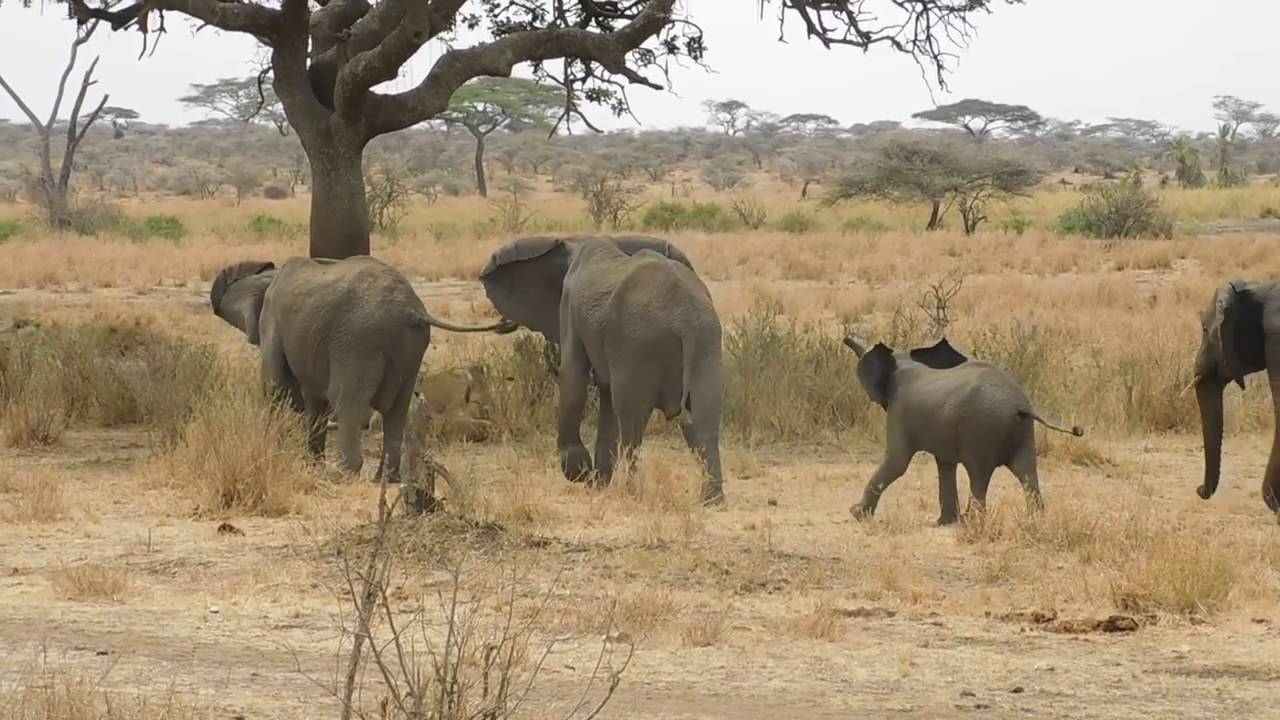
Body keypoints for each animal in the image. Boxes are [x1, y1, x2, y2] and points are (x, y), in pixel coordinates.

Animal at [209, 255, 514, 485]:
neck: (268, 273)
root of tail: (411, 309)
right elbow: (313, 401)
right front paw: (311, 463)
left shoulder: (271, 320)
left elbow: (274, 386)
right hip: (409, 346)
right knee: (397, 409)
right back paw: (386, 478)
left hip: (358, 341)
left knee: (347, 401)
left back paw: (343, 473)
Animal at [478, 235, 724, 505]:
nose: (502, 326)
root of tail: (685, 318)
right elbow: (604, 396)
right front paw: (597, 483)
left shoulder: (570, 307)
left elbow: (573, 376)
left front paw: (580, 473)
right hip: (706, 342)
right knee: (704, 421)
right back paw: (711, 499)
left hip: (640, 343)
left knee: (631, 421)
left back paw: (629, 491)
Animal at [843, 336, 1084, 525]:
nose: (845, 338)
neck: (904, 362)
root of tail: (1021, 406)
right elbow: (945, 464)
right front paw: (945, 522)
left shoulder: (899, 410)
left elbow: (897, 462)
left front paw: (855, 514)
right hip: (1022, 432)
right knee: (1026, 471)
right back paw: (1035, 521)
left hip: (982, 428)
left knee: (979, 473)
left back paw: (973, 522)